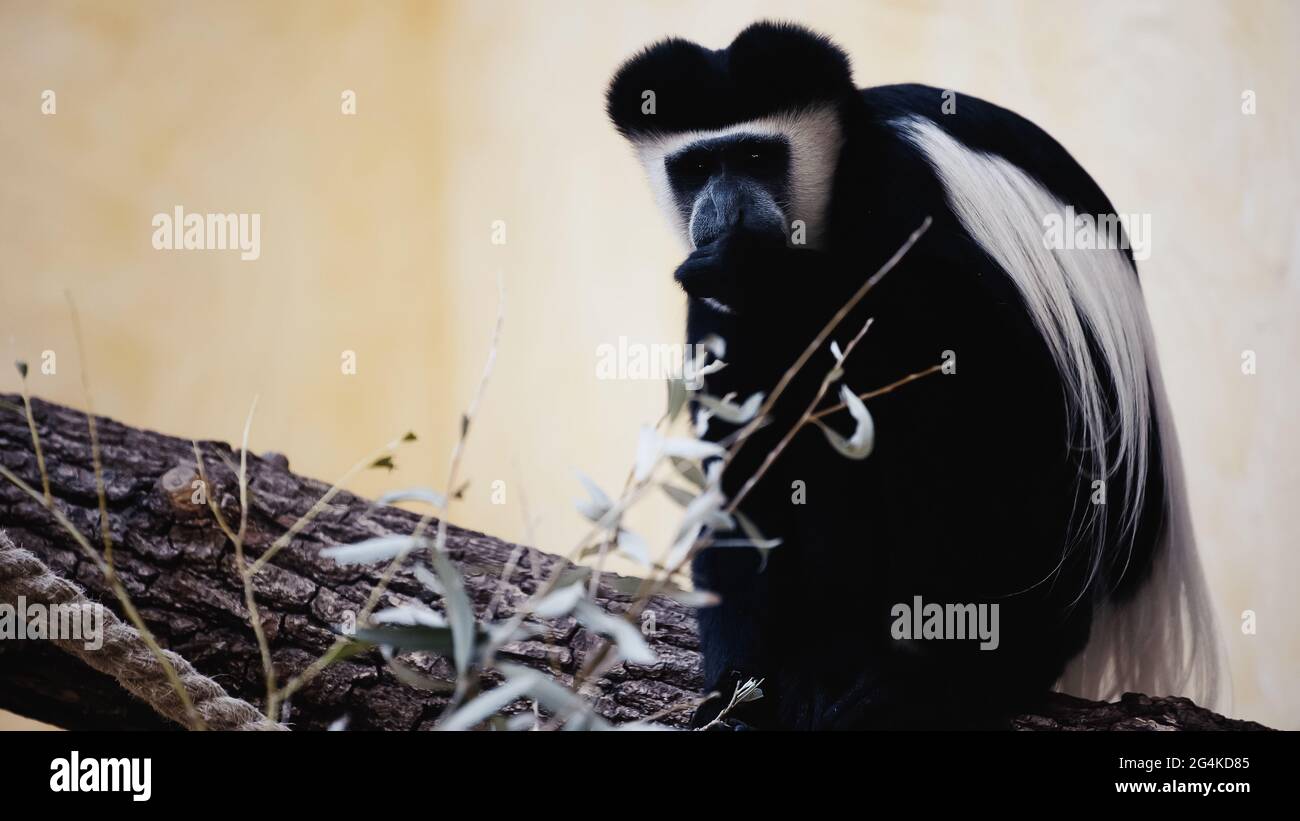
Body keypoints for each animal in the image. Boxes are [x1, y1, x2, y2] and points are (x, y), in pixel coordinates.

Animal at [605, 21, 1222, 729]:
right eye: (698, 167)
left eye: (759, 158)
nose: (727, 211)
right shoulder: (710, 310)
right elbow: (743, 464)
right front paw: (739, 688)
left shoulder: (903, 185)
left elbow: (976, 346)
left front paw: (759, 271)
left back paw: (949, 673)